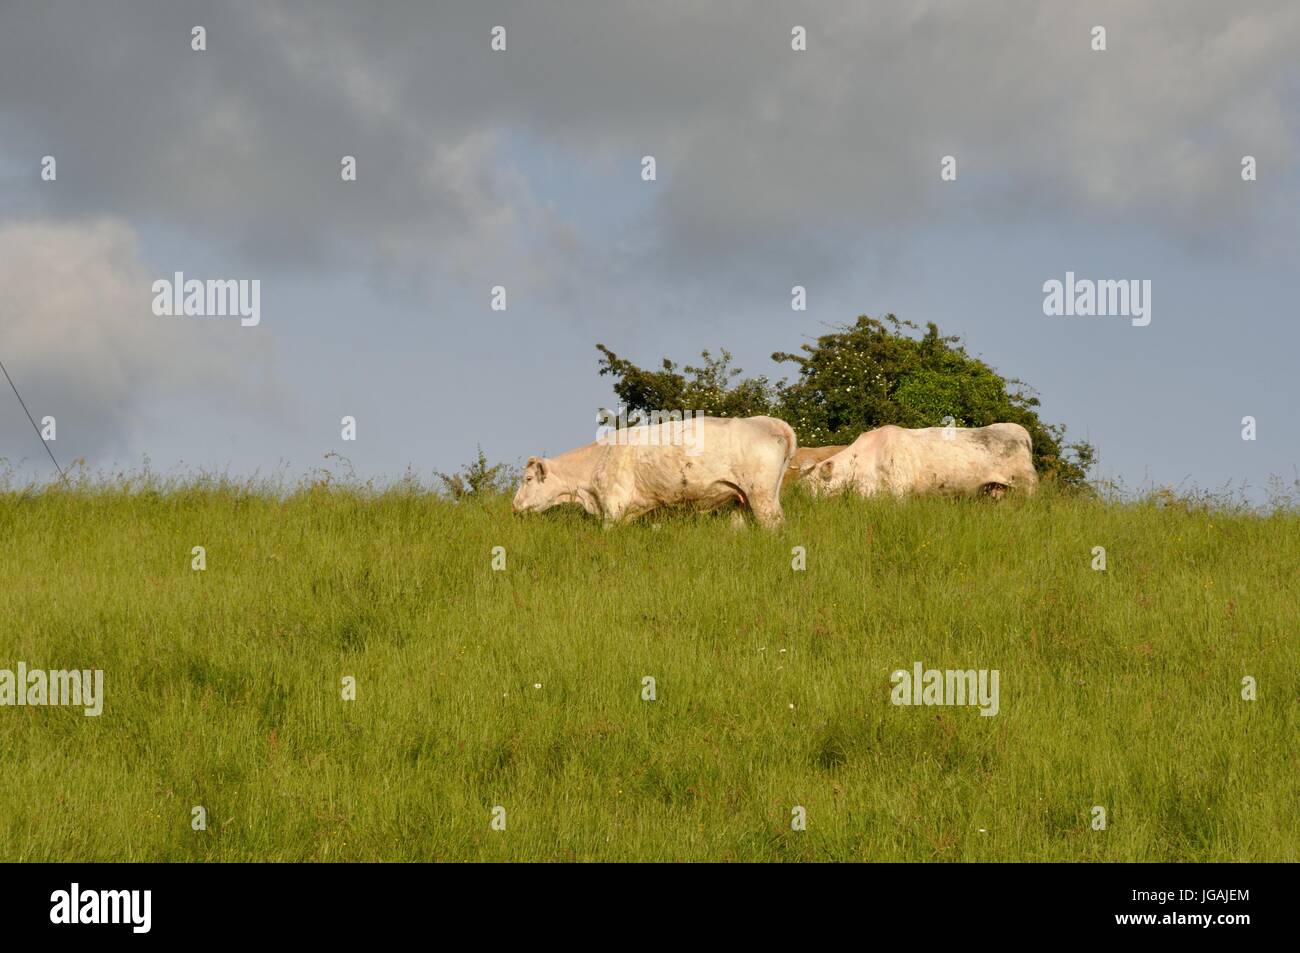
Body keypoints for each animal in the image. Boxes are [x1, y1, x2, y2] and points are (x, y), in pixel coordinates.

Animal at [512, 415, 797, 527]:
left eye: (528, 479)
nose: (513, 507)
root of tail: (767, 421)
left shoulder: (613, 508)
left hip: (762, 497)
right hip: (745, 499)